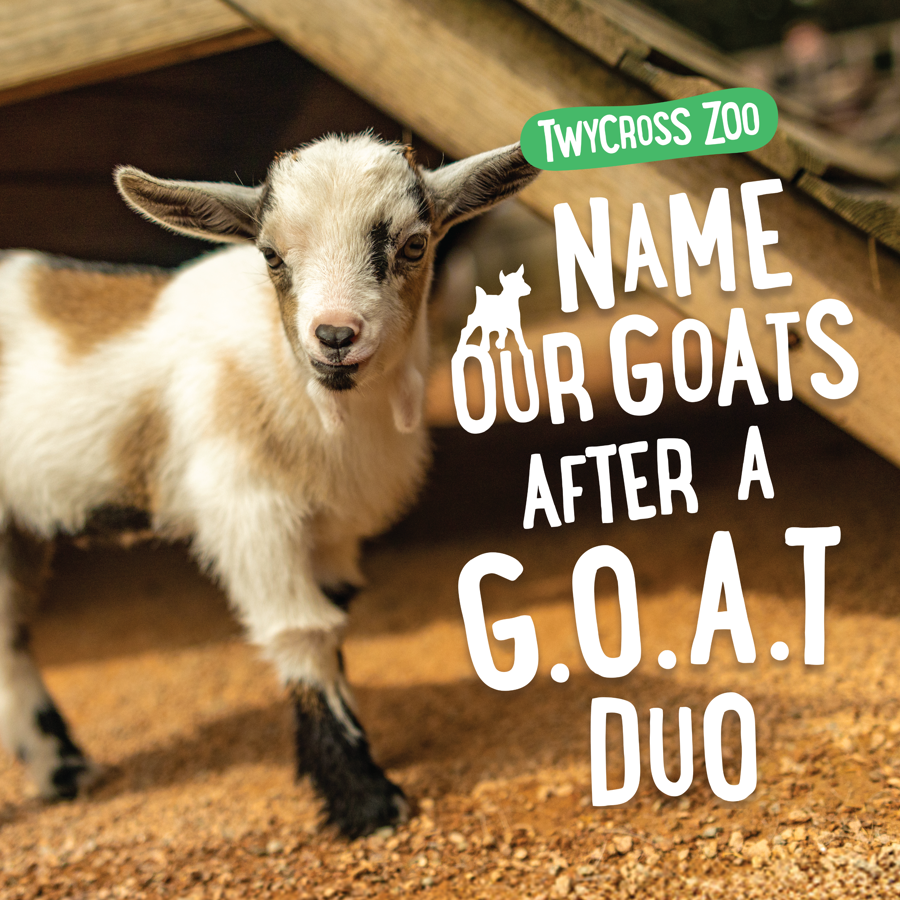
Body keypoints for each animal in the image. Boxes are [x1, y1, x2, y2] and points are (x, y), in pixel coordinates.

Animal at [0, 134, 538, 837]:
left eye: (414, 244)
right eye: (271, 255)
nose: (335, 337)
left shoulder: (330, 526)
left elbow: (333, 626)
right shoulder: (248, 506)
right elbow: (300, 632)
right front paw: (367, 803)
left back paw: (63, 773)